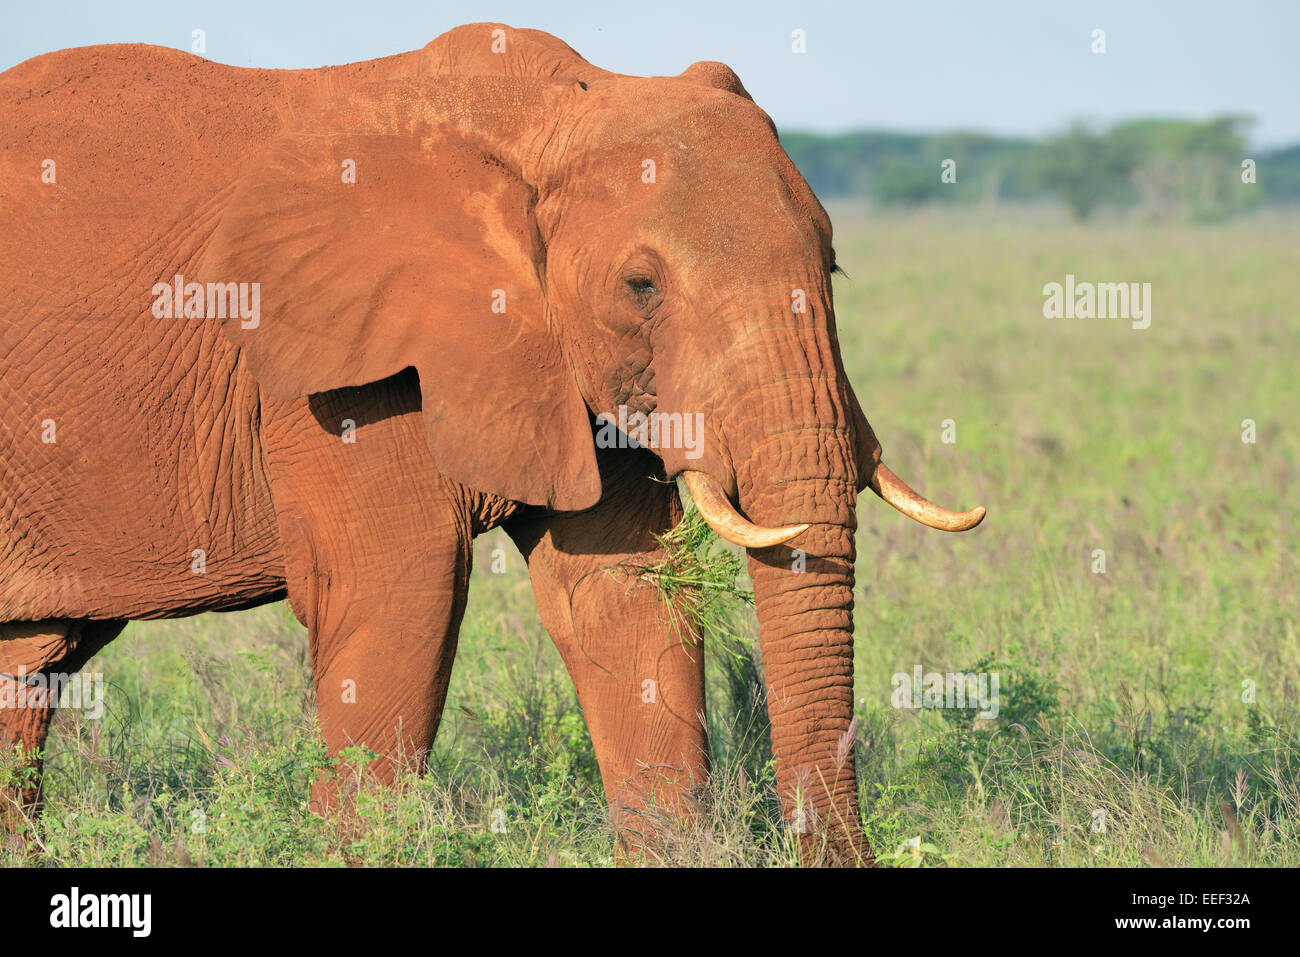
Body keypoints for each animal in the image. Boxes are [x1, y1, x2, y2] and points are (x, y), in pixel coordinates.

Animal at [0, 22, 983, 864]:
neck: (551, 112)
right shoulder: (346, 369)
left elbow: (620, 594)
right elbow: (402, 586)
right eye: (641, 286)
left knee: (29, 666)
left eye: (832, 265)